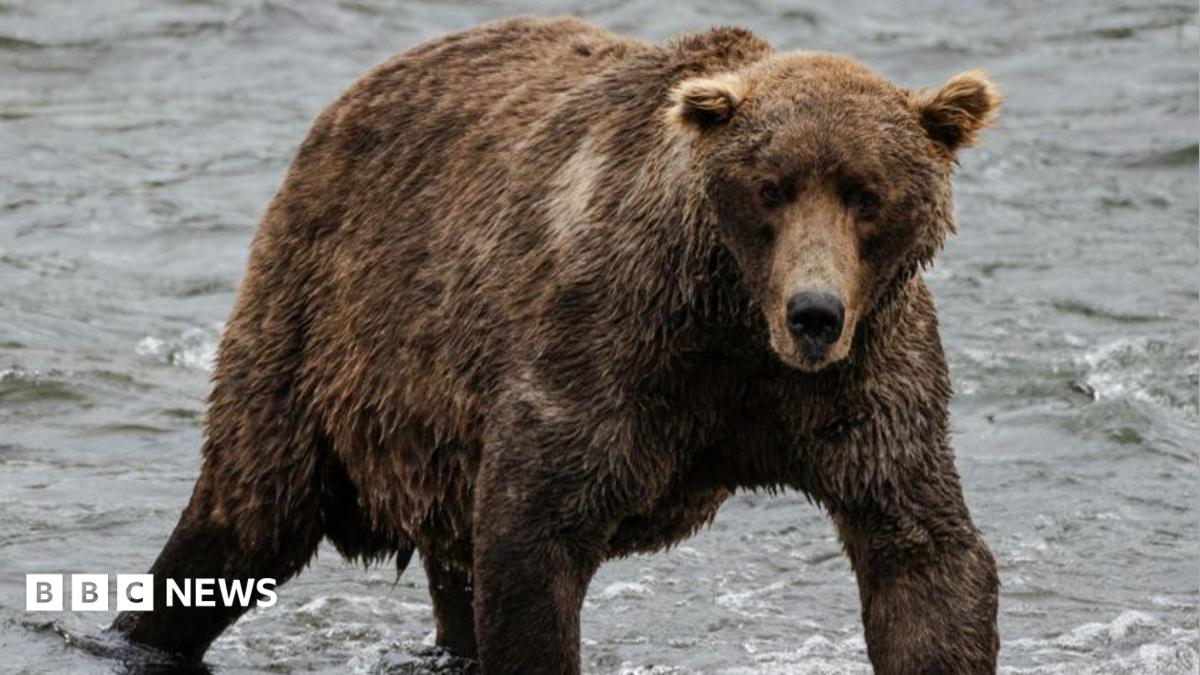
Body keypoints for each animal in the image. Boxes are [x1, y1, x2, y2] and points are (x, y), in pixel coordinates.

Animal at [109, 16, 1001, 674]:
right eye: (770, 189)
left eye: (866, 194)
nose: (814, 311)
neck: (733, 322)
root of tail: (359, 91)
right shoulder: (610, 343)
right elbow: (536, 531)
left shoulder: (864, 380)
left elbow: (924, 553)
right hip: (324, 326)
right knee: (244, 513)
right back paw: (137, 629)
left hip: (435, 436)